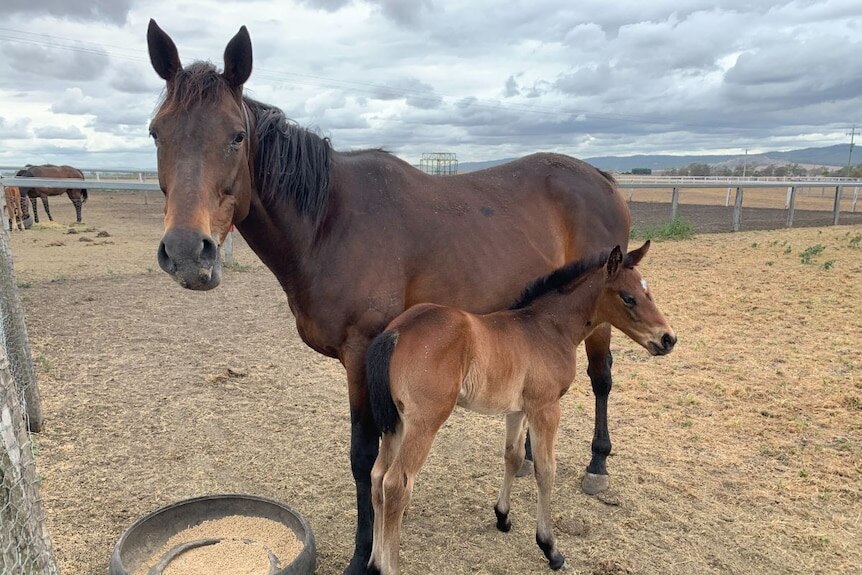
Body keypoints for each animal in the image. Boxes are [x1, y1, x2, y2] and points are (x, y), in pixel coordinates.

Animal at [147, 21, 635, 574]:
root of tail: (603, 179)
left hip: (600, 316)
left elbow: (365, 457)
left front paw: (363, 554)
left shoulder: (362, 354)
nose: (188, 252)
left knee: (601, 378)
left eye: (237, 135)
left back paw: (597, 464)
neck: (330, 221)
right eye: (157, 133)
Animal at [366, 242, 675, 574]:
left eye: (649, 293)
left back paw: (373, 561)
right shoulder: (546, 407)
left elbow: (513, 457)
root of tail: (396, 332)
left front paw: (502, 516)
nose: (668, 338)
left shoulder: (517, 409)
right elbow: (545, 470)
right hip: (424, 422)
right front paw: (550, 548)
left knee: (377, 477)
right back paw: (388, 566)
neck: (548, 328)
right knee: (396, 484)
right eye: (628, 297)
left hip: (396, 422)